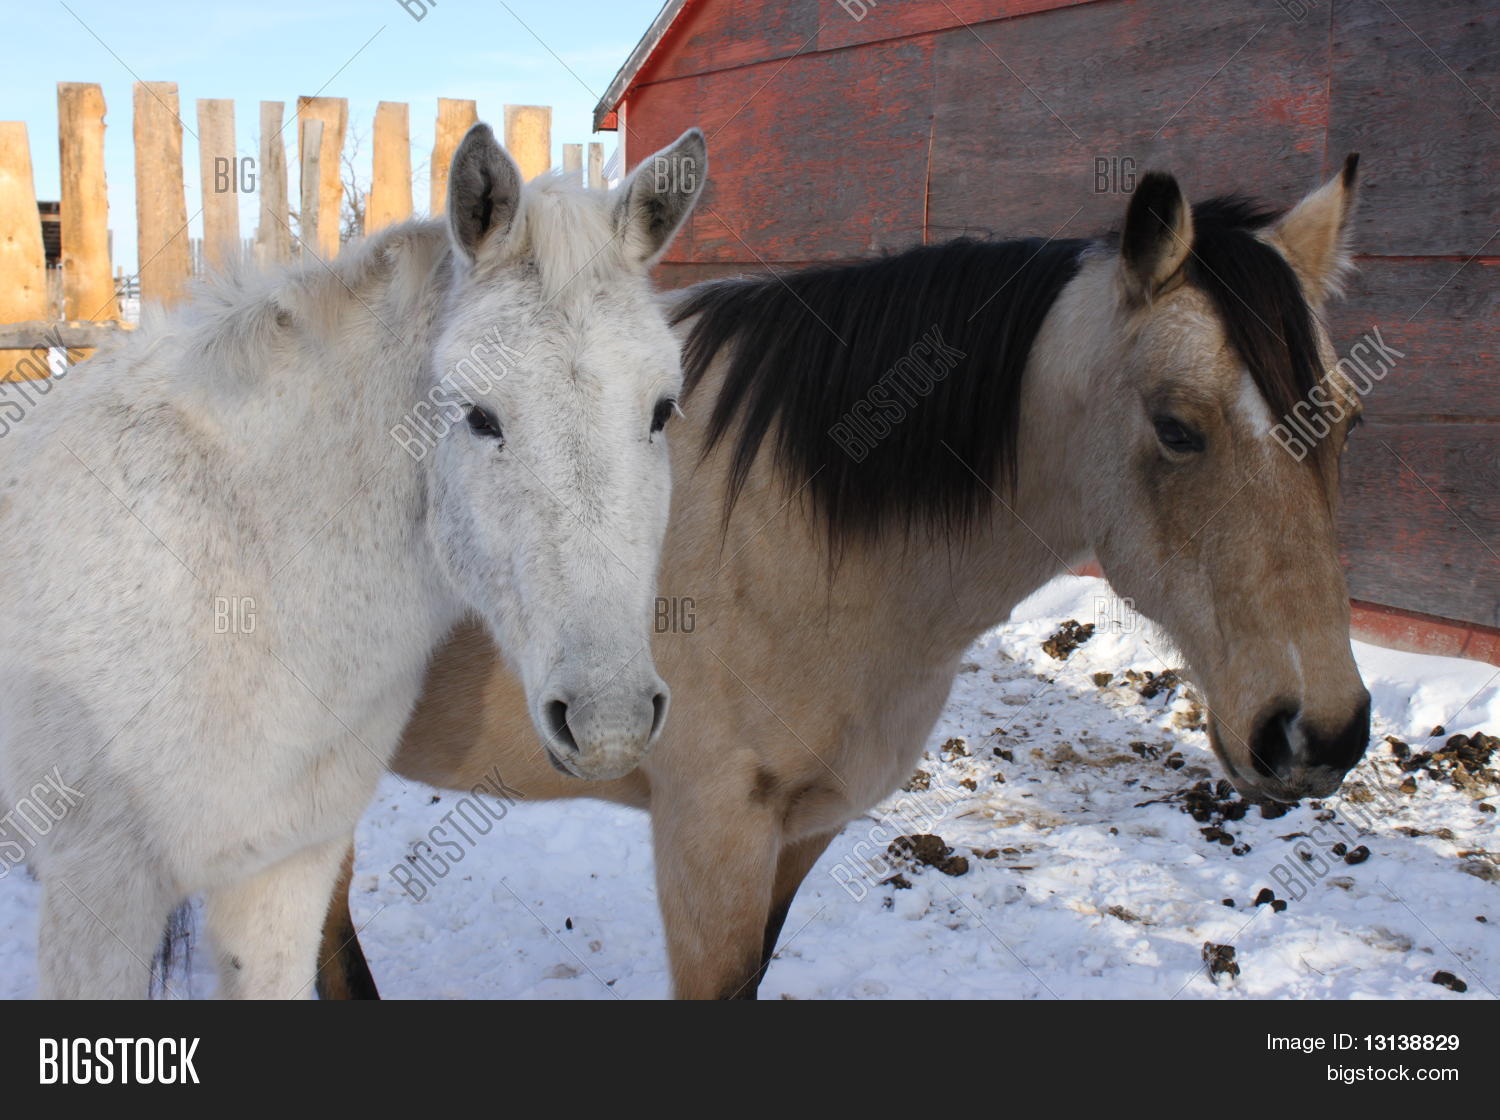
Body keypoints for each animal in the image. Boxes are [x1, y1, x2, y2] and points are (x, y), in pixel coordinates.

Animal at [0, 121, 708, 998]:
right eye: (479, 416)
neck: (234, 580)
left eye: (660, 410)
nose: (609, 722)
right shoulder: (98, 895)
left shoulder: (285, 871)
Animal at [318, 157, 1372, 999]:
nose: (1318, 732)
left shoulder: (802, 834)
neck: (788, 539)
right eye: (1177, 428)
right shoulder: (710, 840)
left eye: (1349, 421)